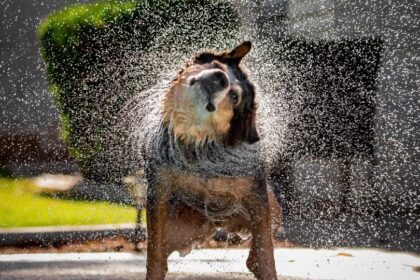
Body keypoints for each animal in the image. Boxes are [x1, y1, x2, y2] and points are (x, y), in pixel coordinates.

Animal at [126, 41, 280, 280]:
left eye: (234, 97)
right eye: (217, 65)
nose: (221, 78)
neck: (198, 146)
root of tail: (214, 223)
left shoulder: (256, 191)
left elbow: (264, 253)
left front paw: (263, 264)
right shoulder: (159, 188)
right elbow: (156, 253)